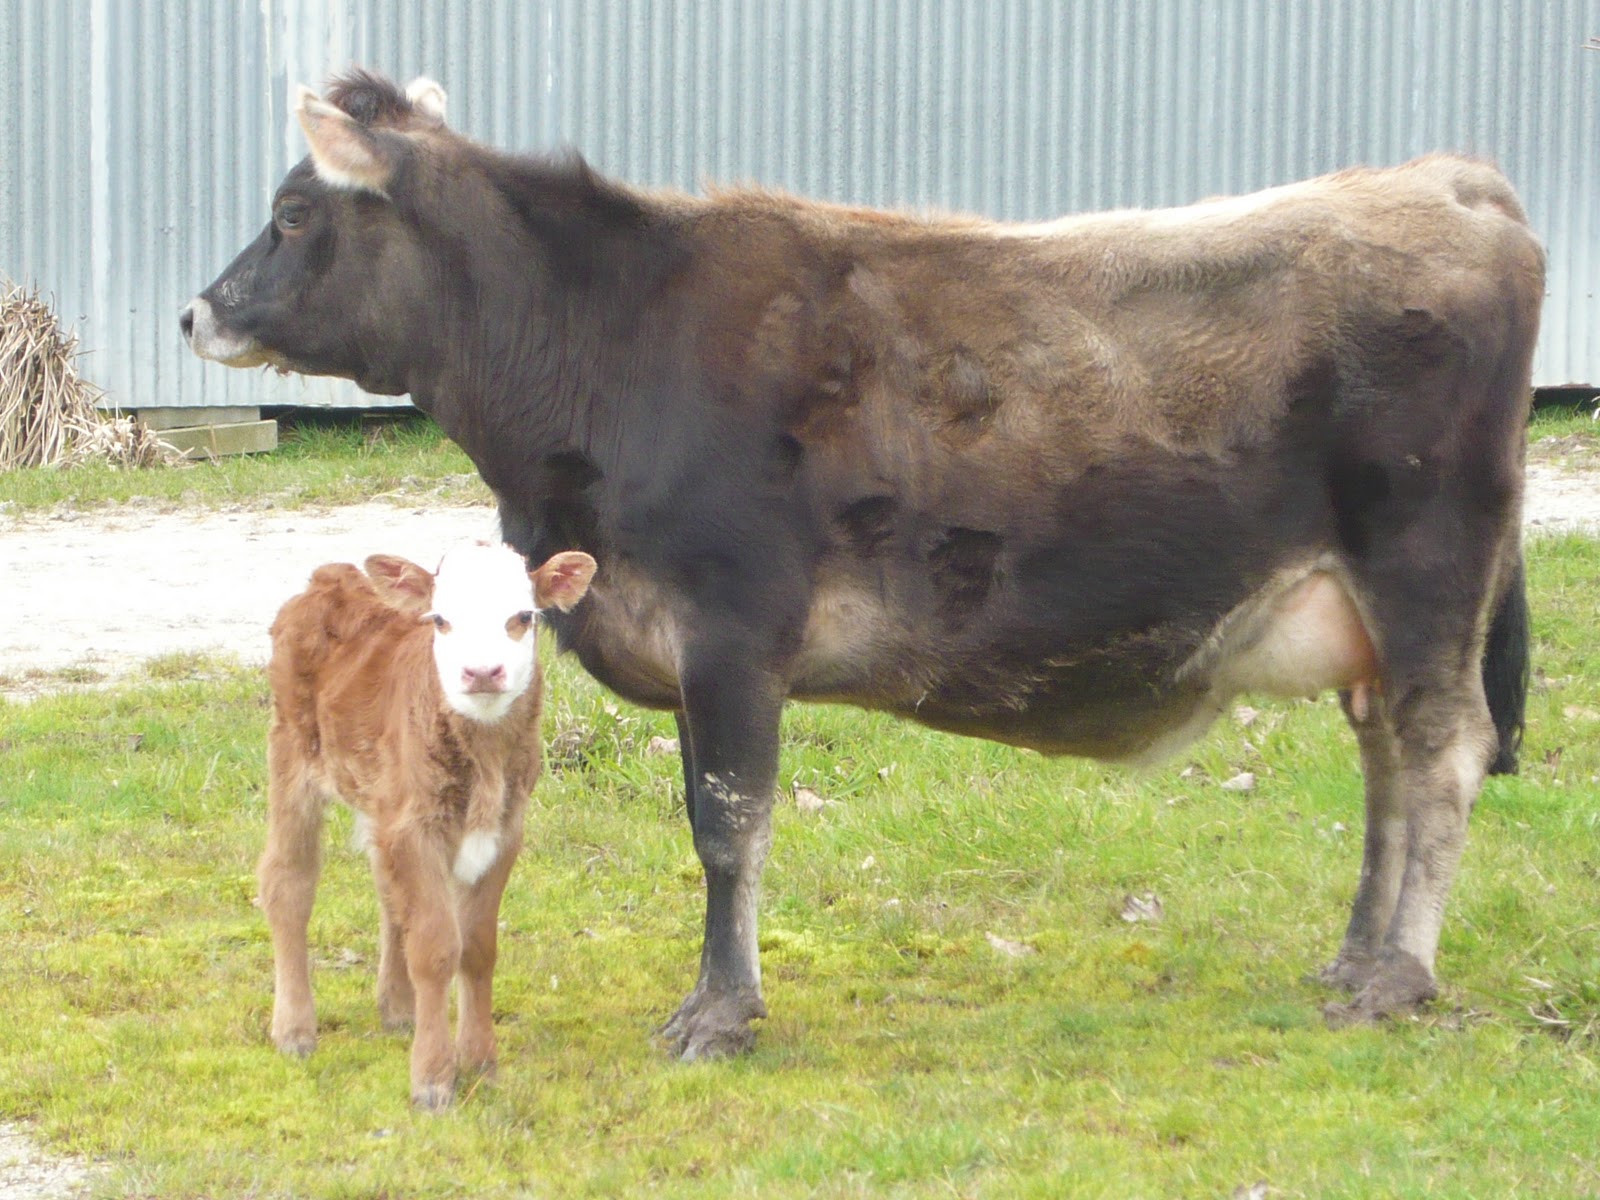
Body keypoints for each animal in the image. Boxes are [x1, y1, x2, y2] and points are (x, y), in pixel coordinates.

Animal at [262, 540, 596, 1107]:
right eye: (441, 620)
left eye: (523, 616)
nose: (481, 672)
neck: (484, 758)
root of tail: (332, 578)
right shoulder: (415, 827)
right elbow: (437, 946)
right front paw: (434, 1078)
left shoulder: (502, 830)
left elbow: (477, 947)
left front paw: (481, 1061)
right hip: (292, 756)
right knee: (288, 885)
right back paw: (294, 1029)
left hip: (380, 800)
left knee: (386, 891)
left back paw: (398, 1008)